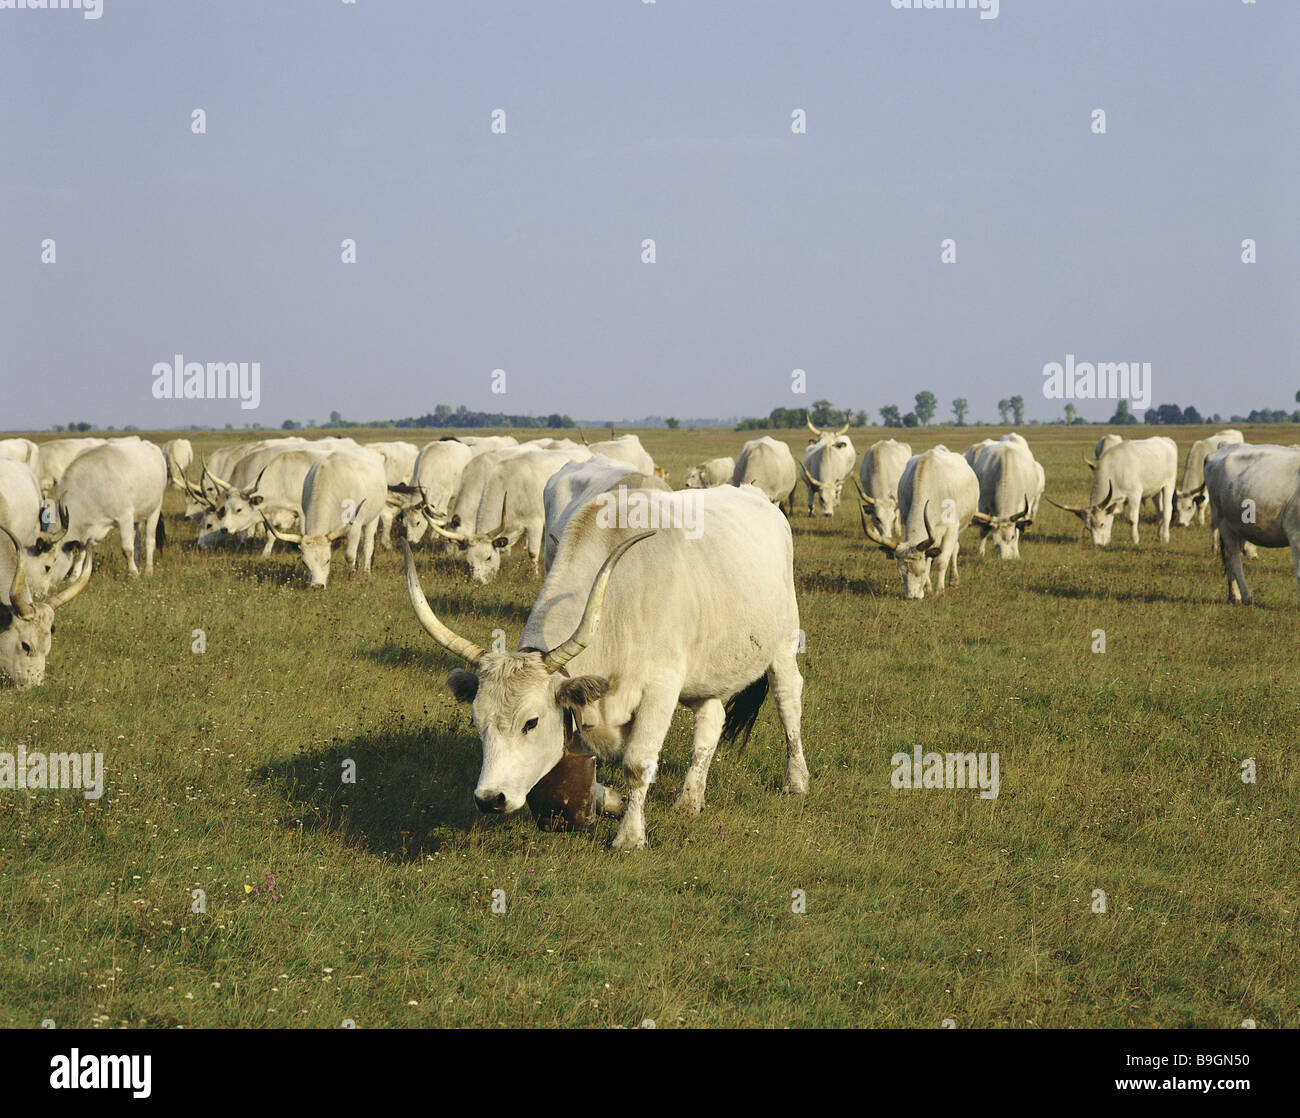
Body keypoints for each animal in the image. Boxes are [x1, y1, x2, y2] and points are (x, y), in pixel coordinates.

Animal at [261, 450, 387, 588]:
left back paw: (366, 573)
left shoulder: (355, 525)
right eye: (305, 563)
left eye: (327, 560)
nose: (317, 586)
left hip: (373, 518)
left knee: (367, 546)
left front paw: (351, 578)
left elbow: (349, 555)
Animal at [401, 482, 809, 850]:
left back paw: (796, 781)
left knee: (788, 703)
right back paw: (690, 799)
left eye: (531, 722)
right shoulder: (580, 707)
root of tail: (759, 497)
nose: (489, 798)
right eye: (477, 721)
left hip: (783, 645)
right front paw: (611, 802)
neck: (621, 604)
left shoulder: (660, 690)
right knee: (710, 722)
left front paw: (630, 837)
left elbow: (637, 765)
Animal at [860, 446, 979, 600]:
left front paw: (939, 590)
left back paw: (954, 579)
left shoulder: (951, 529)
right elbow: (928, 557)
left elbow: (941, 561)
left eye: (920, 571)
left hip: (960, 527)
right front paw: (928, 588)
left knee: (954, 549)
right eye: (901, 572)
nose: (912, 597)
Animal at [1048, 436, 1177, 546]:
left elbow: (1132, 519)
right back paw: (1159, 535)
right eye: (1088, 527)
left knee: (1167, 510)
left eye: (1101, 524)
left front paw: (1135, 540)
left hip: (1168, 484)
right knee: (1160, 510)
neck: (1115, 470)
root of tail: (1167, 441)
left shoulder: (1134, 495)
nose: (1097, 545)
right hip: (1156, 490)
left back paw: (1165, 537)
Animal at [1206, 443, 1300, 606]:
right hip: (1223, 522)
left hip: (1239, 526)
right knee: (1233, 559)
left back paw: (1233, 595)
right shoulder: (1295, 533)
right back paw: (1244, 596)